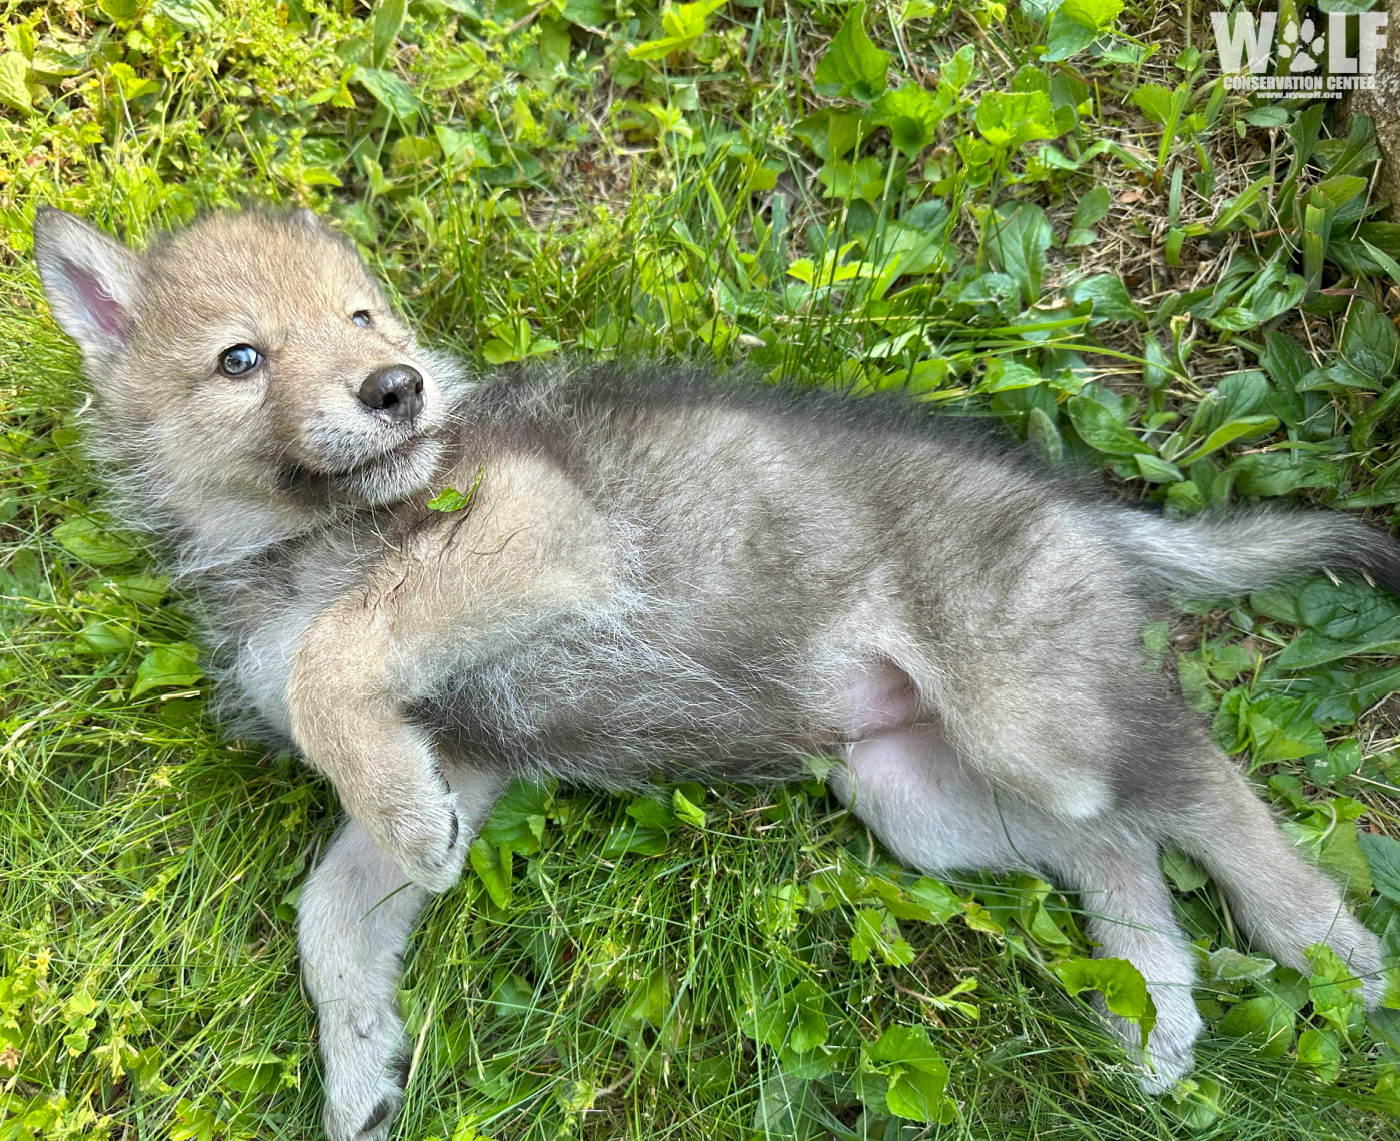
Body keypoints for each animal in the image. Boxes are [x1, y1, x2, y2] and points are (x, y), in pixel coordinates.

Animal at [33, 206, 1393, 1140]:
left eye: (363, 319)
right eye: (240, 360)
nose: (396, 387)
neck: (287, 542)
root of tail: (1087, 513)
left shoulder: (539, 533)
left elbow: (338, 651)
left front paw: (402, 849)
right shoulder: (460, 754)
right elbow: (329, 915)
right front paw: (361, 1072)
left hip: (1031, 720)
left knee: (1198, 786)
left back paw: (1327, 948)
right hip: (918, 797)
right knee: (1116, 844)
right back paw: (1153, 1020)